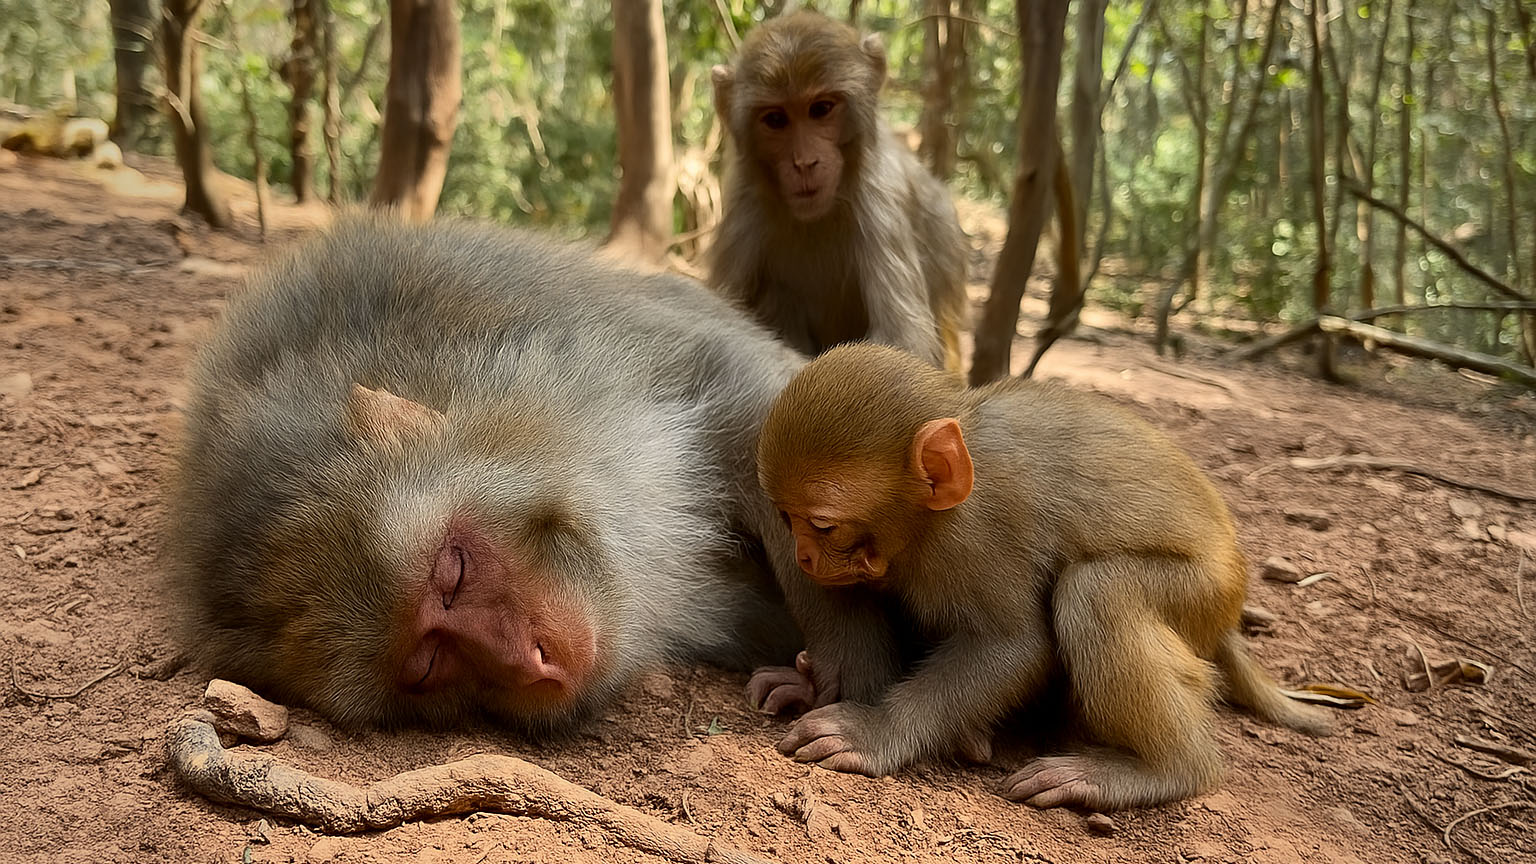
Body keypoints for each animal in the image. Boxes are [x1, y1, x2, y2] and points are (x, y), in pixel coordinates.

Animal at [708, 10, 969, 372]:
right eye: (775, 119)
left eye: (821, 109)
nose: (805, 162)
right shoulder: (744, 204)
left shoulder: (879, 197)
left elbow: (903, 343)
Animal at [751, 342, 1331, 811]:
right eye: (786, 519)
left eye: (823, 525)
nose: (805, 558)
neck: (933, 517)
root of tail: (1233, 600)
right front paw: (813, 682)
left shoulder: (981, 532)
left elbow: (1016, 645)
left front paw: (872, 730)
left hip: (1205, 593)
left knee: (1096, 590)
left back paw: (1166, 769)